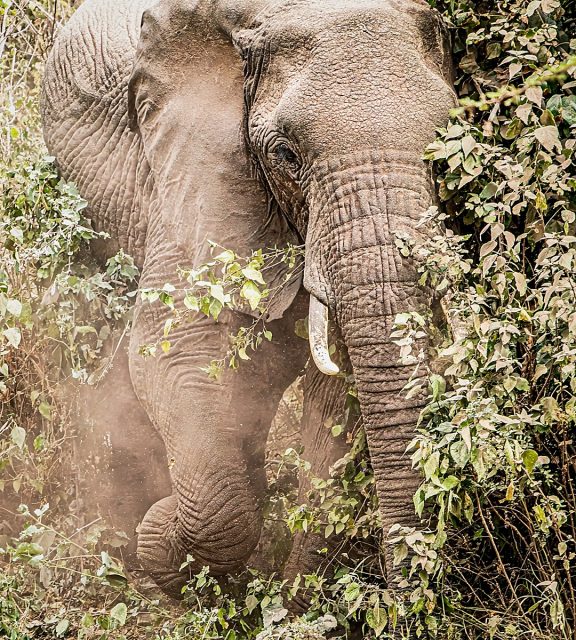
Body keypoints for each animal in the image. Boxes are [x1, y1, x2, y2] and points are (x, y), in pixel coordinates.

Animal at [41, 0, 455, 613]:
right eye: (285, 154)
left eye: (443, 143)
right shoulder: (192, 179)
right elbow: (173, 358)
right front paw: (163, 539)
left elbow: (335, 400)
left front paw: (298, 601)